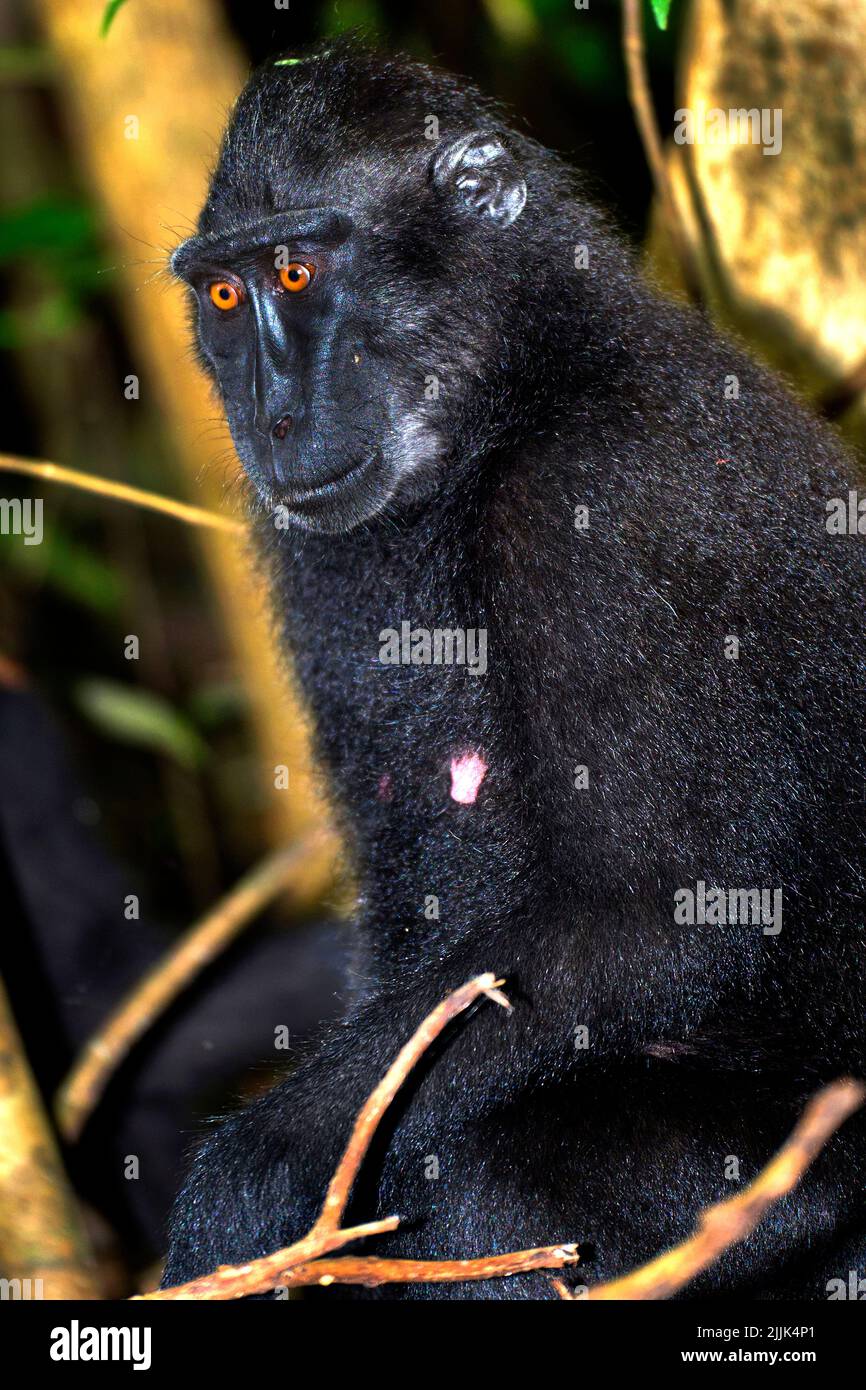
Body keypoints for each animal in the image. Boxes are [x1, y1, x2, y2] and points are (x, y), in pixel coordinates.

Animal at [163, 37, 866, 1298]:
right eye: (226, 297)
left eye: (296, 271)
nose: (273, 417)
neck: (513, 392)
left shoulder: (605, 501)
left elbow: (657, 911)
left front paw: (239, 1193)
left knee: (499, 1187)